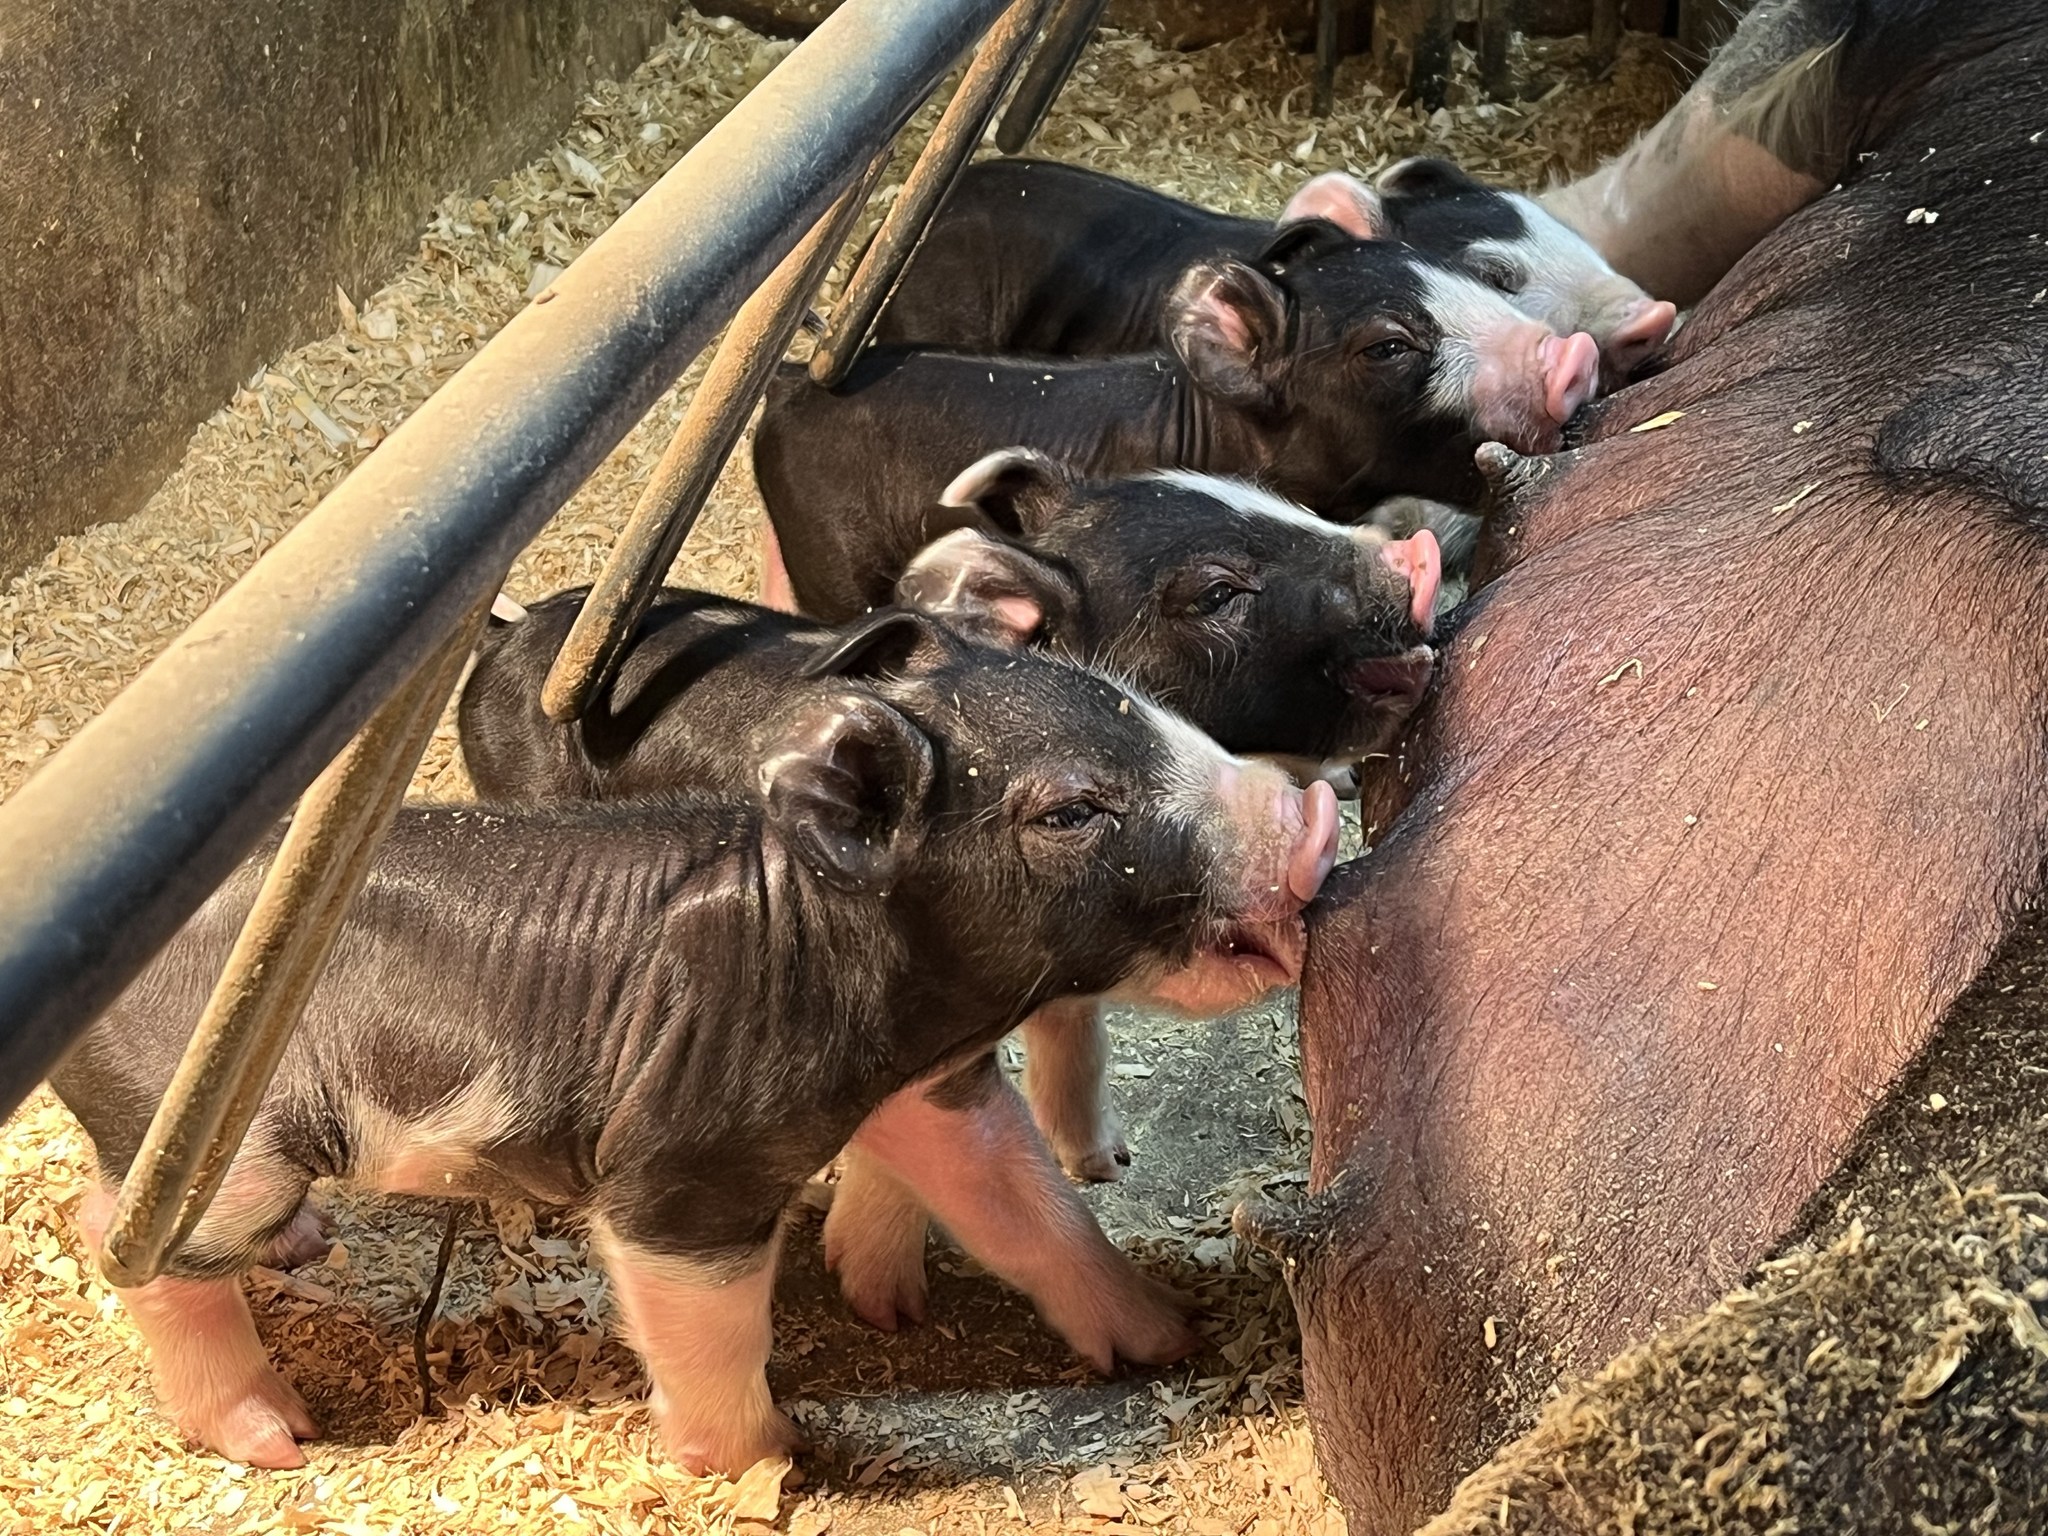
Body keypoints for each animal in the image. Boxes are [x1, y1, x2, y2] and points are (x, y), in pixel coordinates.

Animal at [56, 612, 1340, 1474]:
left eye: (1158, 720)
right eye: (1071, 811)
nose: (1316, 812)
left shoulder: (926, 1092)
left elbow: (1027, 1208)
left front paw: (1158, 1334)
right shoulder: (680, 1169)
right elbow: (710, 1318)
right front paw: (761, 1462)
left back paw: (302, 1256)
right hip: (225, 1154)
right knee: (128, 1245)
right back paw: (278, 1437)